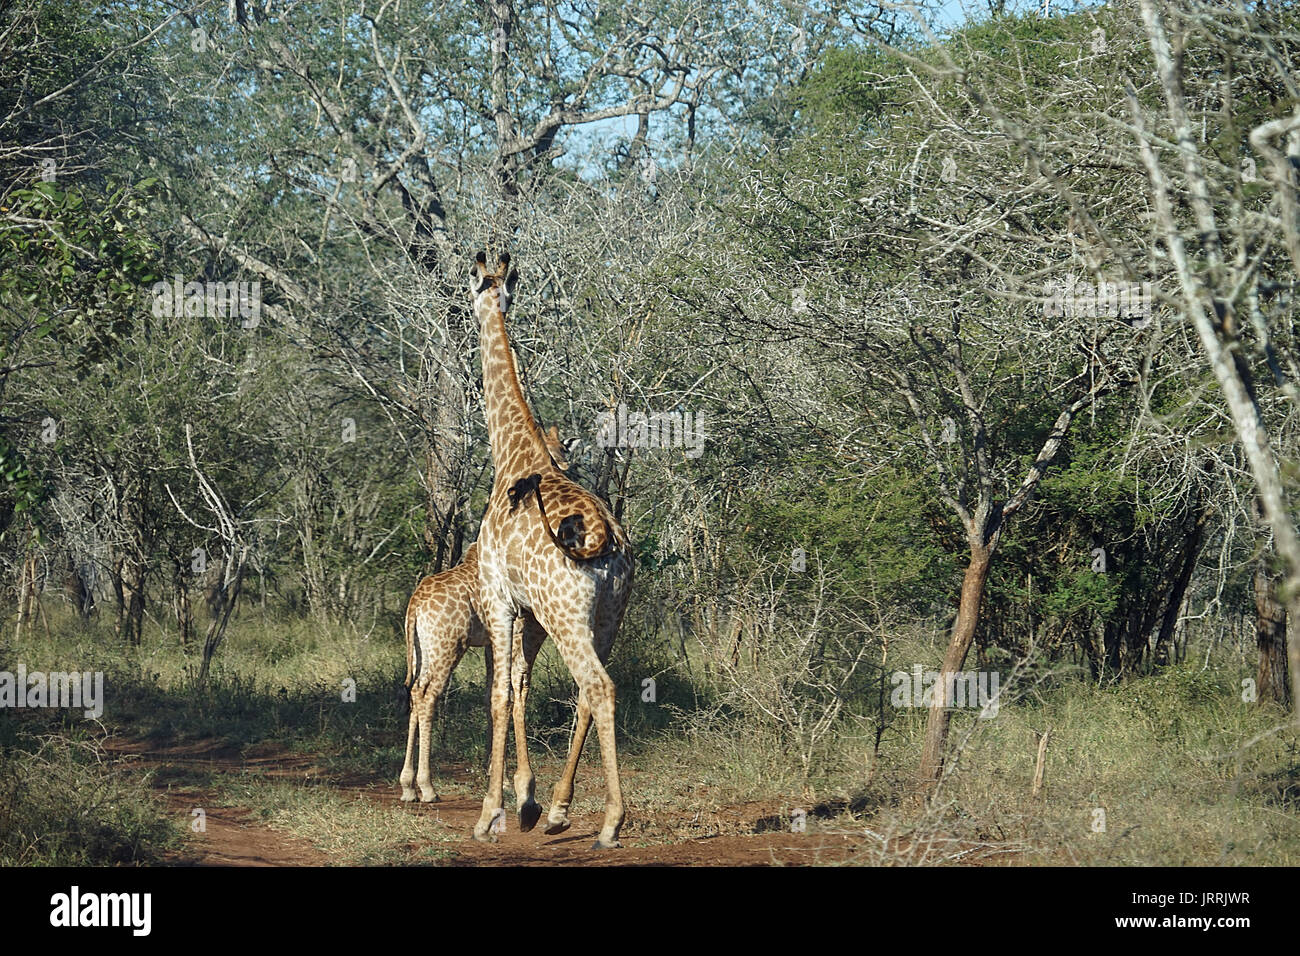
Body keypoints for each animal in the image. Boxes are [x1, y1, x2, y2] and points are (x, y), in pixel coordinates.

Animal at [399, 428, 570, 832]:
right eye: (551, 453)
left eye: (561, 449)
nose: (565, 466)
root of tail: (414, 606)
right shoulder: (517, 629)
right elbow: (513, 689)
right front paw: (514, 788)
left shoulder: (493, 643)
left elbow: (495, 692)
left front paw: (500, 780)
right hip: (447, 646)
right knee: (428, 695)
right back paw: (427, 787)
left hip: (423, 648)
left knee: (413, 691)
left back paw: (407, 786)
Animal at [469, 251, 635, 848]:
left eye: (473, 285)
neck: (514, 456)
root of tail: (606, 541)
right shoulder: (526, 610)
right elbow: (517, 684)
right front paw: (528, 800)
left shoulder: (498, 597)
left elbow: (499, 692)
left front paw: (490, 812)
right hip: (607, 615)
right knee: (590, 690)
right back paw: (563, 810)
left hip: (566, 615)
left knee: (599, 686)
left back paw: (609, 823)